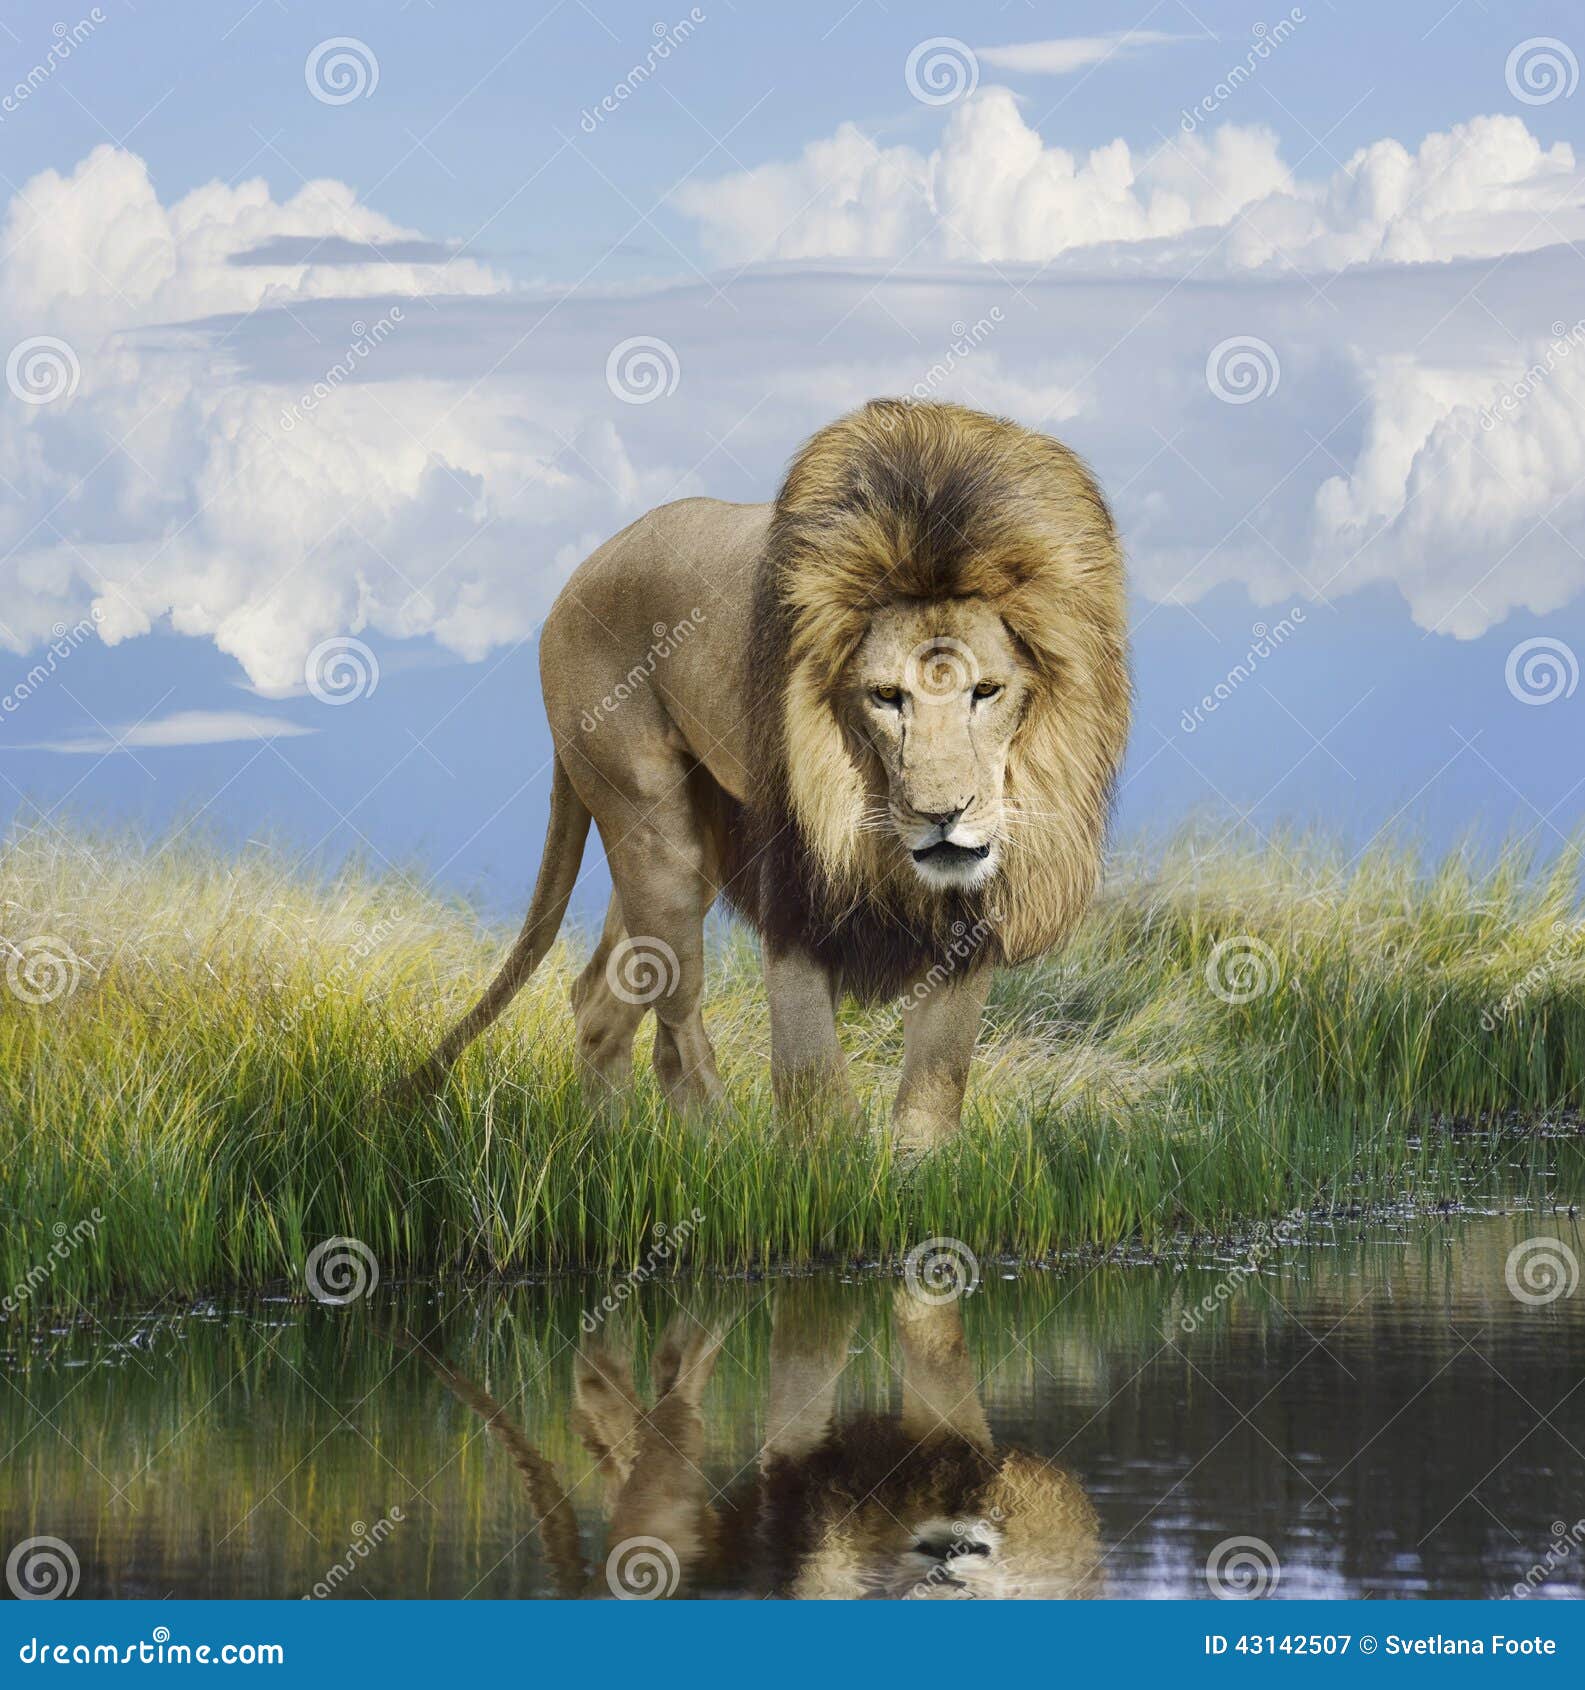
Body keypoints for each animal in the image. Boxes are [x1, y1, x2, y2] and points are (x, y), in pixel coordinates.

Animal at [405, 399, 1130, 1146]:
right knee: (676, 1026)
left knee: (600, 1002)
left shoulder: (971, 919)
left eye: (985, 691)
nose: (942, 815)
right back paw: (721, 1148)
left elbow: (935, 1084)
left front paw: (916, 1167)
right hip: (651, 828)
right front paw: (822, 1165)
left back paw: (611, 1146)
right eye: (885, 696)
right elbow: (813, 1078)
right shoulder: (796, 895)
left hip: (692, 845)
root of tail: (578, 575)